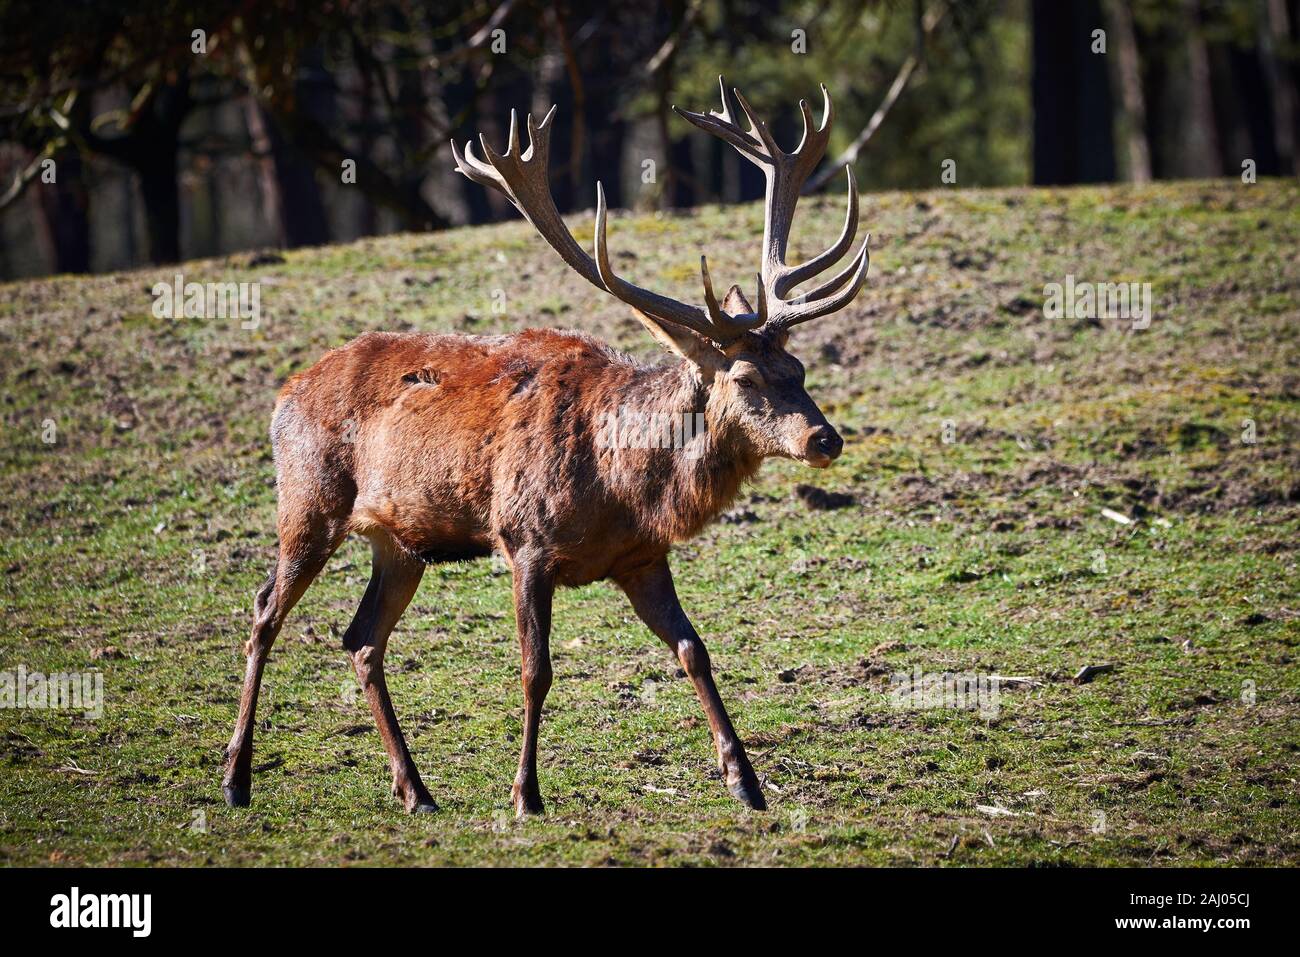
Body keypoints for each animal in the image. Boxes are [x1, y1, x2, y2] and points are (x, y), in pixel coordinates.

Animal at [221, 77, 869, 818]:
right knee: (263, 613)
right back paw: (237, 778)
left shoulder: (642, 556)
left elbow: (694, 649)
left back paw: (416, 790)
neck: (620, 481)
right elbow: (537, 670)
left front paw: (746, 780)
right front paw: (525, 793)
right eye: (747, 378)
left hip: (401, 542)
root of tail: (284, 394)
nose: (825, 437)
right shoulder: (524, 540)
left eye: (799, 368)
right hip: (308, 501)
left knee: (360, 640)